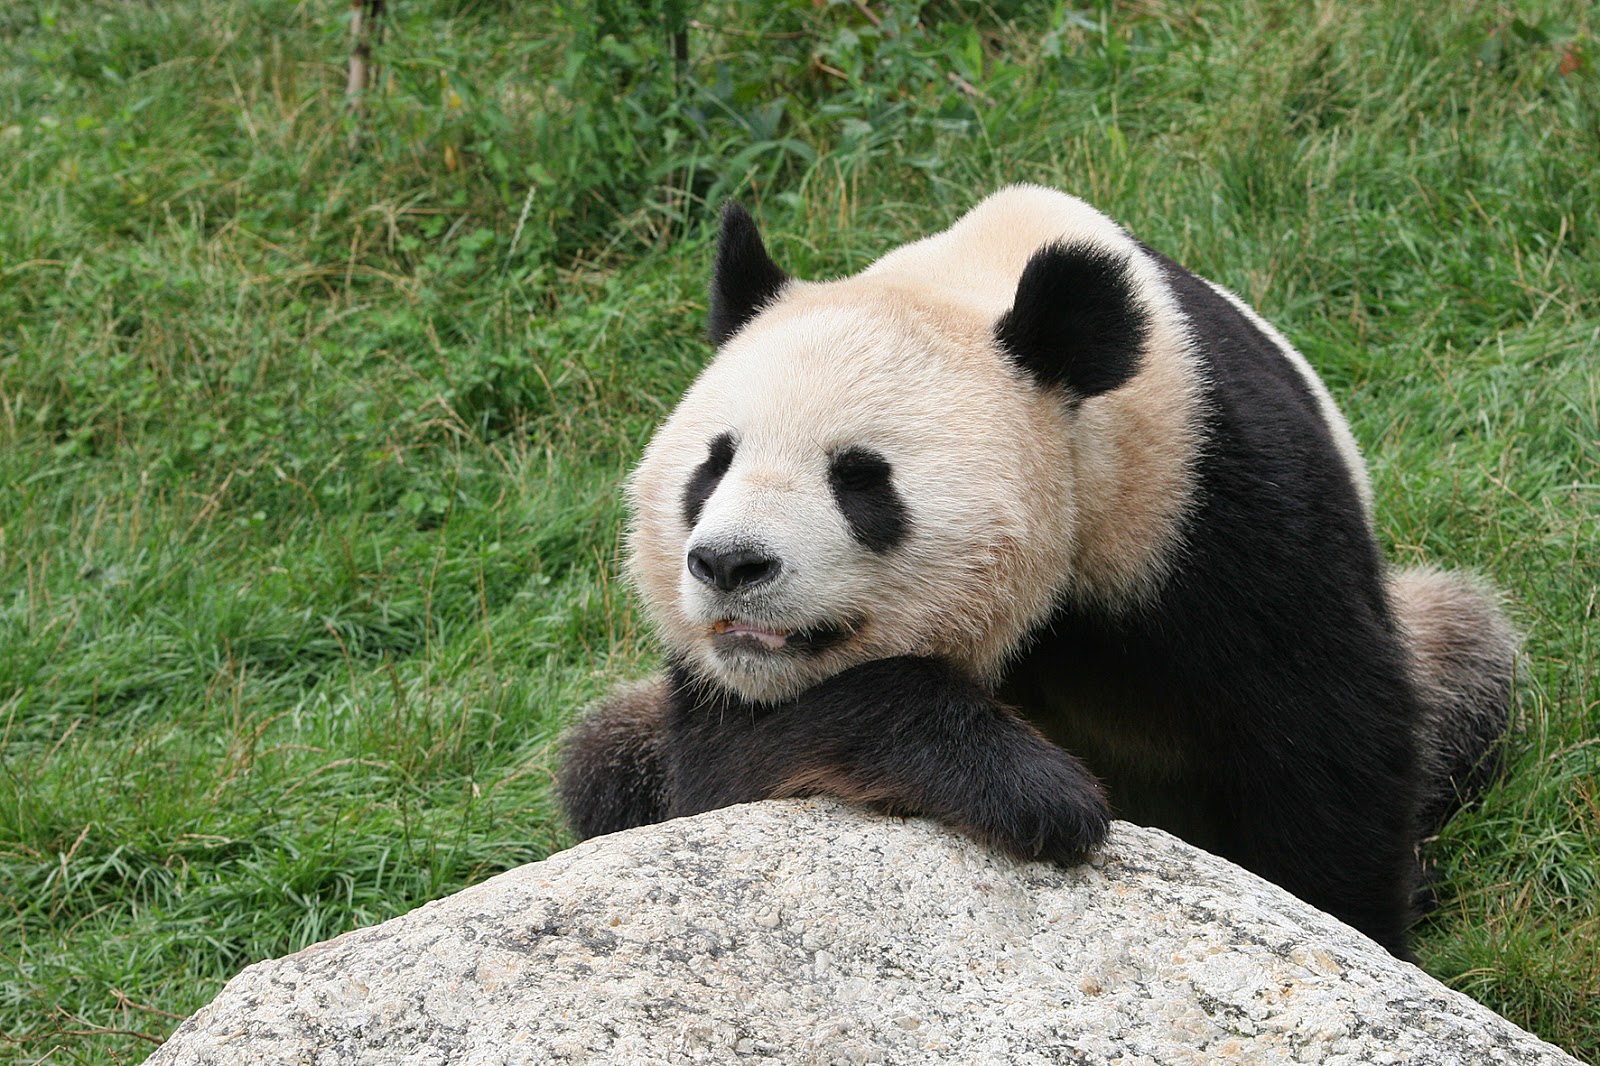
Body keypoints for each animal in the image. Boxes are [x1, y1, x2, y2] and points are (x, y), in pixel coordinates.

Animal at [557, 185, 1516, 960]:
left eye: (861, 478)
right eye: (712, 465)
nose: (729, 563)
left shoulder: (1214, 494)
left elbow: (1323, 732)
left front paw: (1356, 927)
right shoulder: (724, 692)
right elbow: (730, 775)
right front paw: (1033, 792)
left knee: (1468, 659)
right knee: (605, 760)